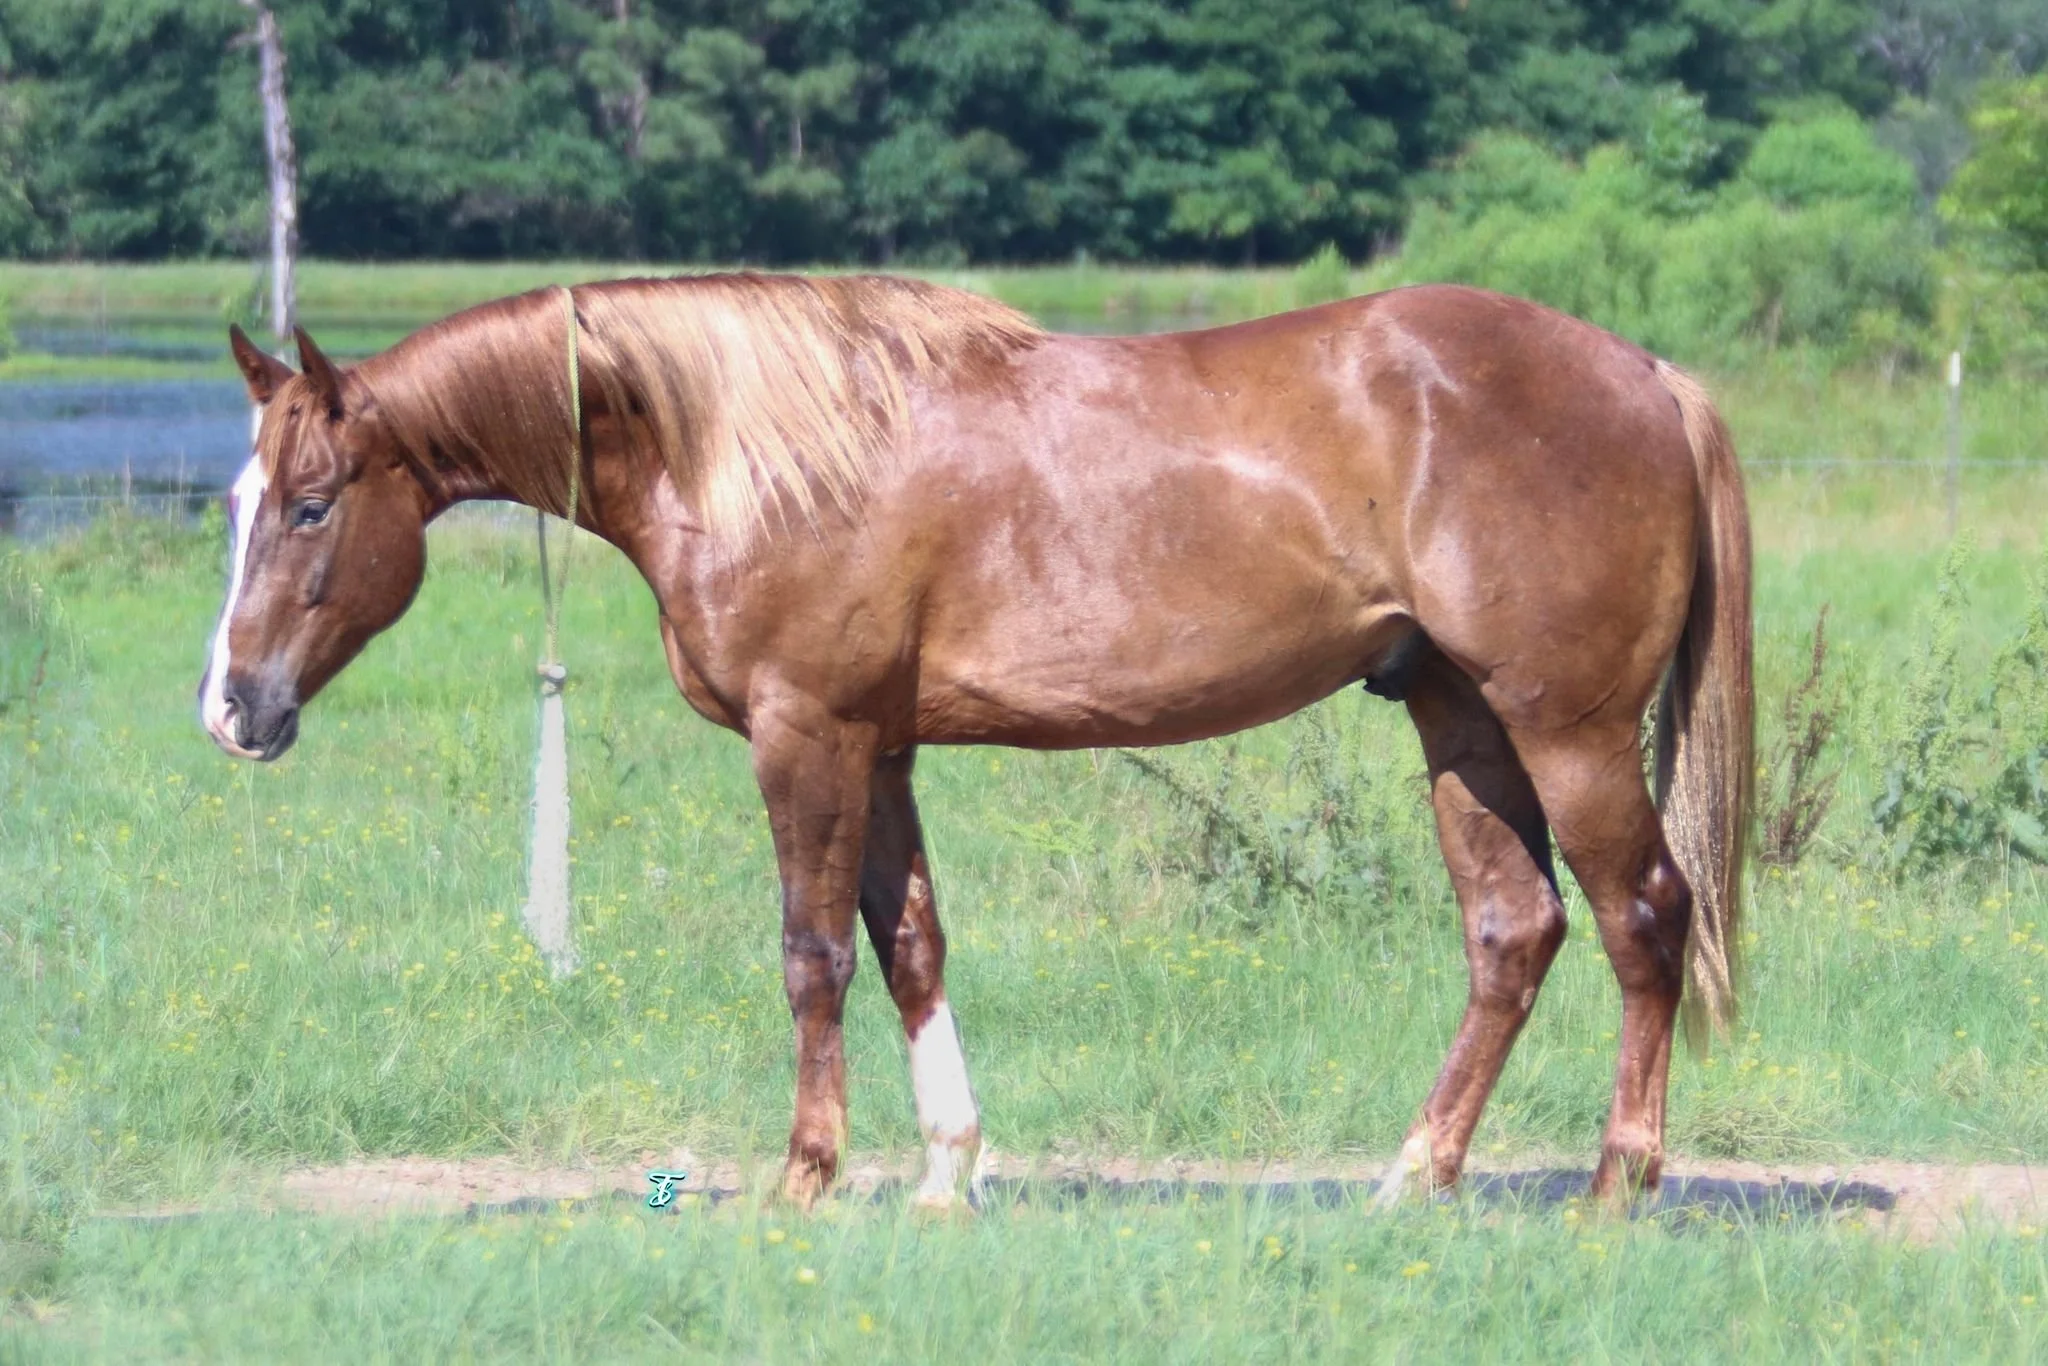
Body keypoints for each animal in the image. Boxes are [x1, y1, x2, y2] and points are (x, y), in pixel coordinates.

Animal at [201, 274, 1751, 1210]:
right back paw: (1414, 1175)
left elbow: (813, 952)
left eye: (313, 502)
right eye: (237, 496)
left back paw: (1615, 1184)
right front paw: (950, 1170)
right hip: (1459, 720)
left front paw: (806, 1176)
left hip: (1568, 731)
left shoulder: (807, 735)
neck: (756, 449)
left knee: (1641, 917)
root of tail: (1651, 374)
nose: (232, 706)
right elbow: (909, 944)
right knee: (1513, 931)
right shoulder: (880, 748)